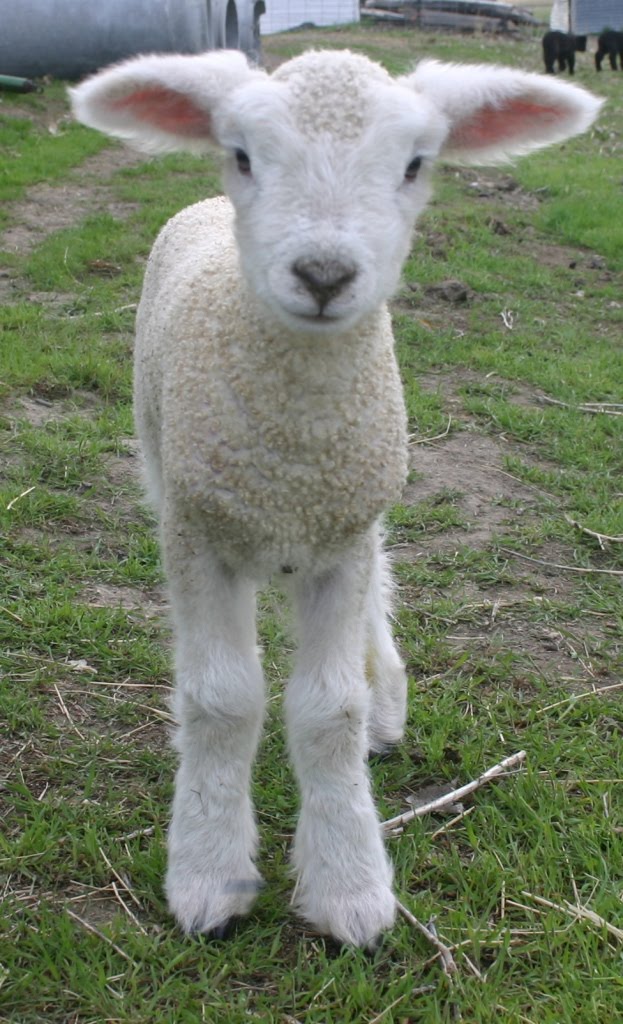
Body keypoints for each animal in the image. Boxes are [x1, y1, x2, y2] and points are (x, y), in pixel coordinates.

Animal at [70, 49, 602, 949]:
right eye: (243, 153)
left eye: (415, 163)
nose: (323, 275)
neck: (294, 452)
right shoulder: (198, 532)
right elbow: (222, 701)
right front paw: (210, 872)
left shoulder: (343, 532)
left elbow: (330, 713)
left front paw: (348, 885)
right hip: (161, 457)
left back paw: (385, 692)